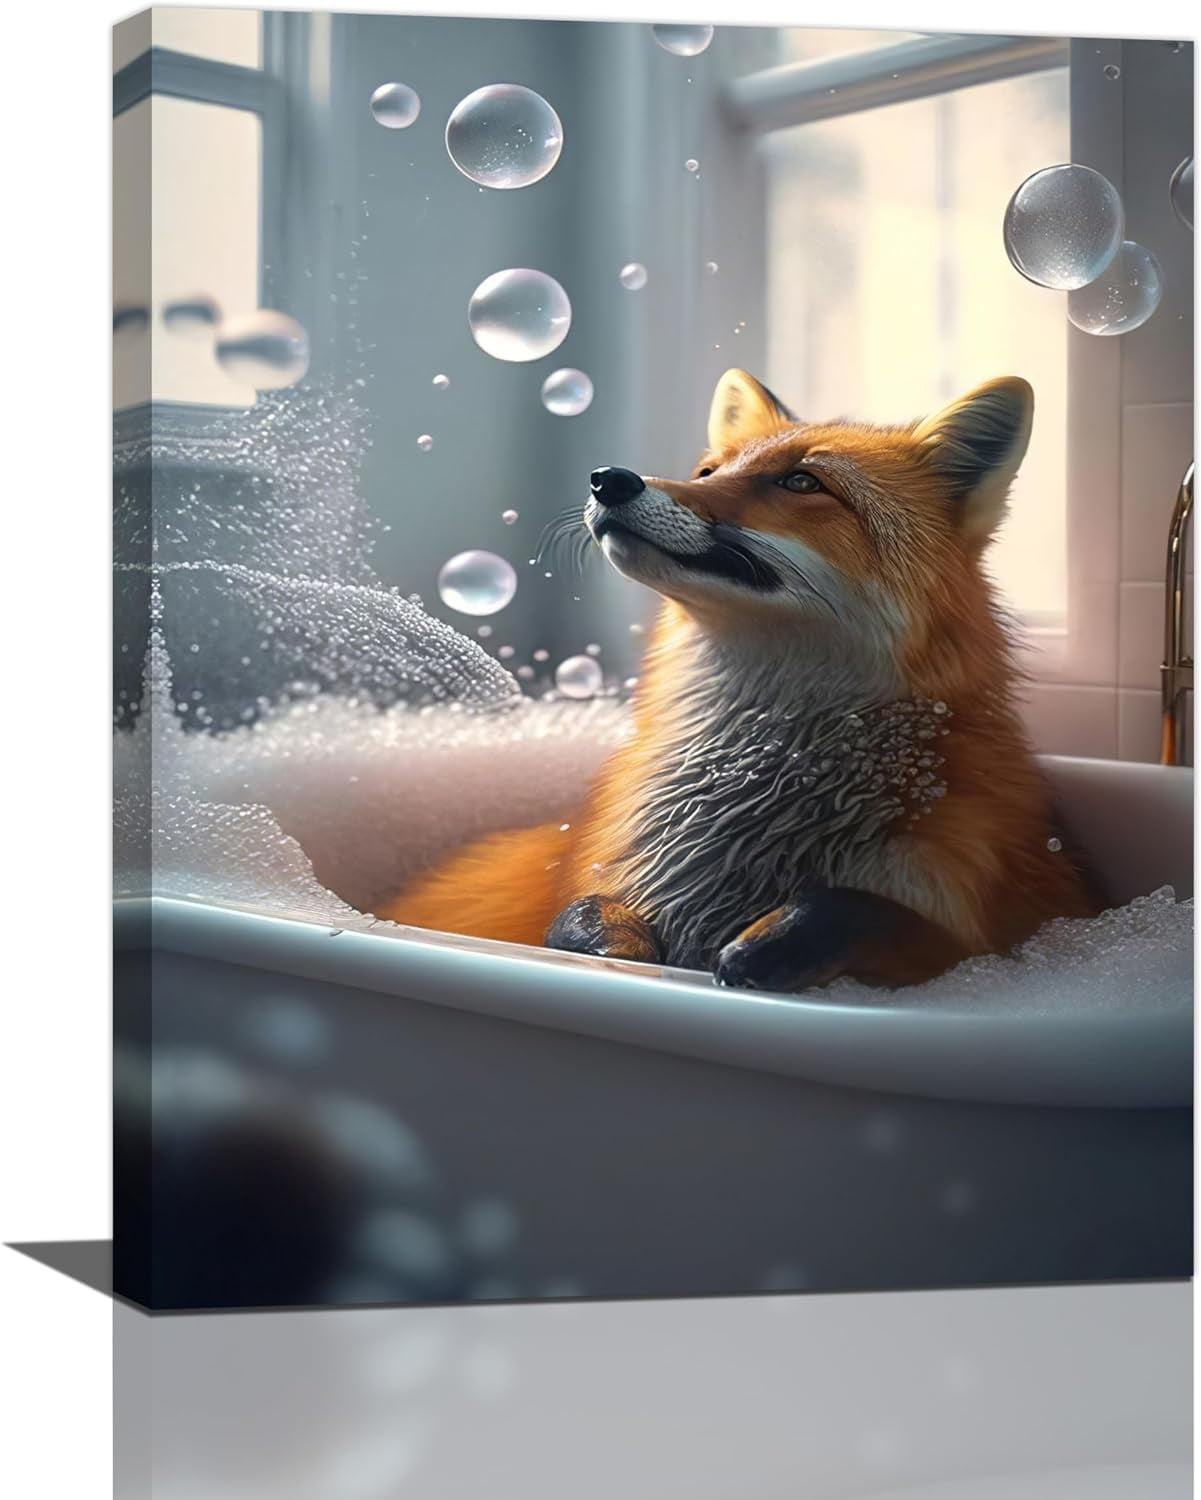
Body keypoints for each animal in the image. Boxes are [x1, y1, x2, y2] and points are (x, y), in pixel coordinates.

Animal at [380, 368, 1099, 991]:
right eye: (707, 471)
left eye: (801, 482)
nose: (608, 479)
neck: (752, 811)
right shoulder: (609, 873)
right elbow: (580, 914)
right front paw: (610, 945)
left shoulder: (973, 930)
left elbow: (864, 909)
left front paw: (778, 940)